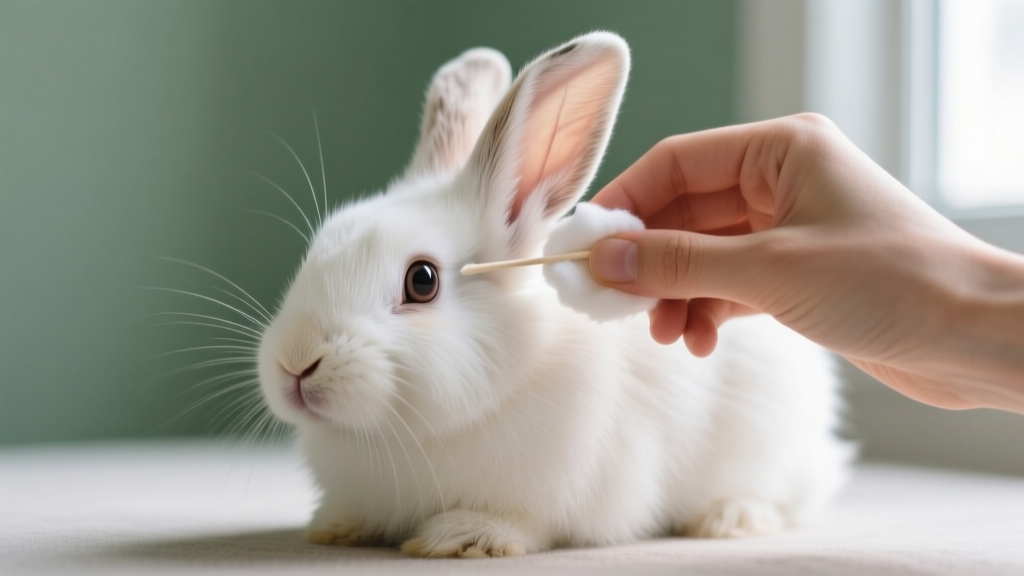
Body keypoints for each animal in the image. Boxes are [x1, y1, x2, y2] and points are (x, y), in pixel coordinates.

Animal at [256, 31, 852, 558]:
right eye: (318, 247)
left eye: (421, 280)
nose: (295, 363)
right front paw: (336, 528)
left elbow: (524, 521)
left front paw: (464, 538)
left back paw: (728, 518)